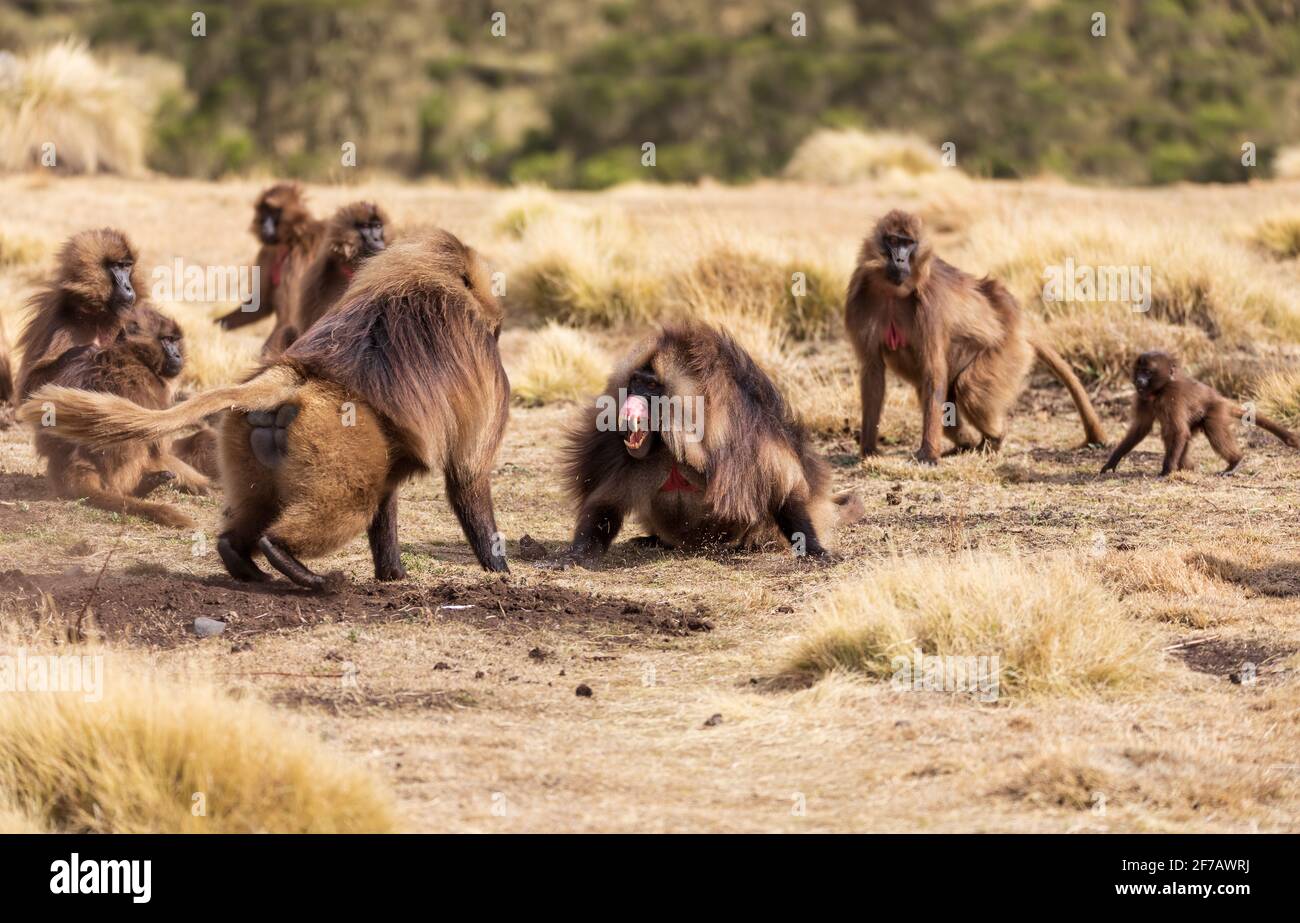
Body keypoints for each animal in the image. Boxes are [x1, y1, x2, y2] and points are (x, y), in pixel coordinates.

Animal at [16, 228, 144, 401]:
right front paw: (88, 350)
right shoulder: (60, 325)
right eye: (117, 266)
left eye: (127, 266)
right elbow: (30, 389)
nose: (128, 287)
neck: (96, 314)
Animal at [214, 183, 323, 333]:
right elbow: (260, 305)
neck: (292, 239)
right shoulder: (268, 253)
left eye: (274, 212)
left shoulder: (296, 260)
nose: (265, 227)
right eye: (265, 211)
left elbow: (288, 321)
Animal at [560, 323, 865, 565]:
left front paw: (814, 549)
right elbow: (606, 503)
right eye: (635, 381)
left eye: (652, 386)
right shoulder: (627, 458)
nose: (630, 400)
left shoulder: (746, 438)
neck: (676, 444)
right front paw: (577, 555)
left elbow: (783, 490)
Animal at [846, 210, 1107, 463]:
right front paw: (869, 450)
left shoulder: (931, 307)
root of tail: (1017, 327)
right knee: (939, 397)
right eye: (892, 241)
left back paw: (994, 439)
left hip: (1006, 353)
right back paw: (967, 444)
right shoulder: (859, 298)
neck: (893, 292)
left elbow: (933, 372)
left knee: (968, 388)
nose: (900, 260)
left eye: (908, 243)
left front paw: (928, 454)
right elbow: (873, 372)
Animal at [1101, 351, 1299, 477]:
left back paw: (1235, 462)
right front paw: (1112, 462)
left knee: (1211, 429)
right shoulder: (1143, 398)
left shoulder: (1173, 397)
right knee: (1174, 434)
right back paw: (1188, 467)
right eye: (1139, 371)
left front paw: (1167, 471)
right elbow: (1140, 429)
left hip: (1215, 410)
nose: (1139, 381)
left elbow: (1178, 431)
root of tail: (1219, 397)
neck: (1159, 391)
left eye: (1148, 372)